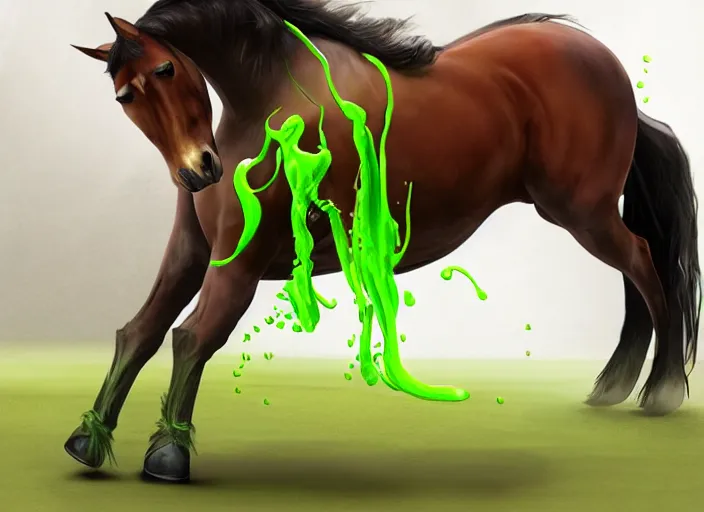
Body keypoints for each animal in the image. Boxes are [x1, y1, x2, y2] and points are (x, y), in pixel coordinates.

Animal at [67, 0, 700, 483]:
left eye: (166, 71)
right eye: (125, 97)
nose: (198, 171)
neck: (270, 100)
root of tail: (607, 66)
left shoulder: (240, 263)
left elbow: (193, 337)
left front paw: (168, 454)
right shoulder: (193, 252)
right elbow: (140, 332)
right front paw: (88, 439)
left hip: (582, 213)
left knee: (647, 267)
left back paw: (663, 389)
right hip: (589, 215)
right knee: (636, 274)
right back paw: (616, 385)